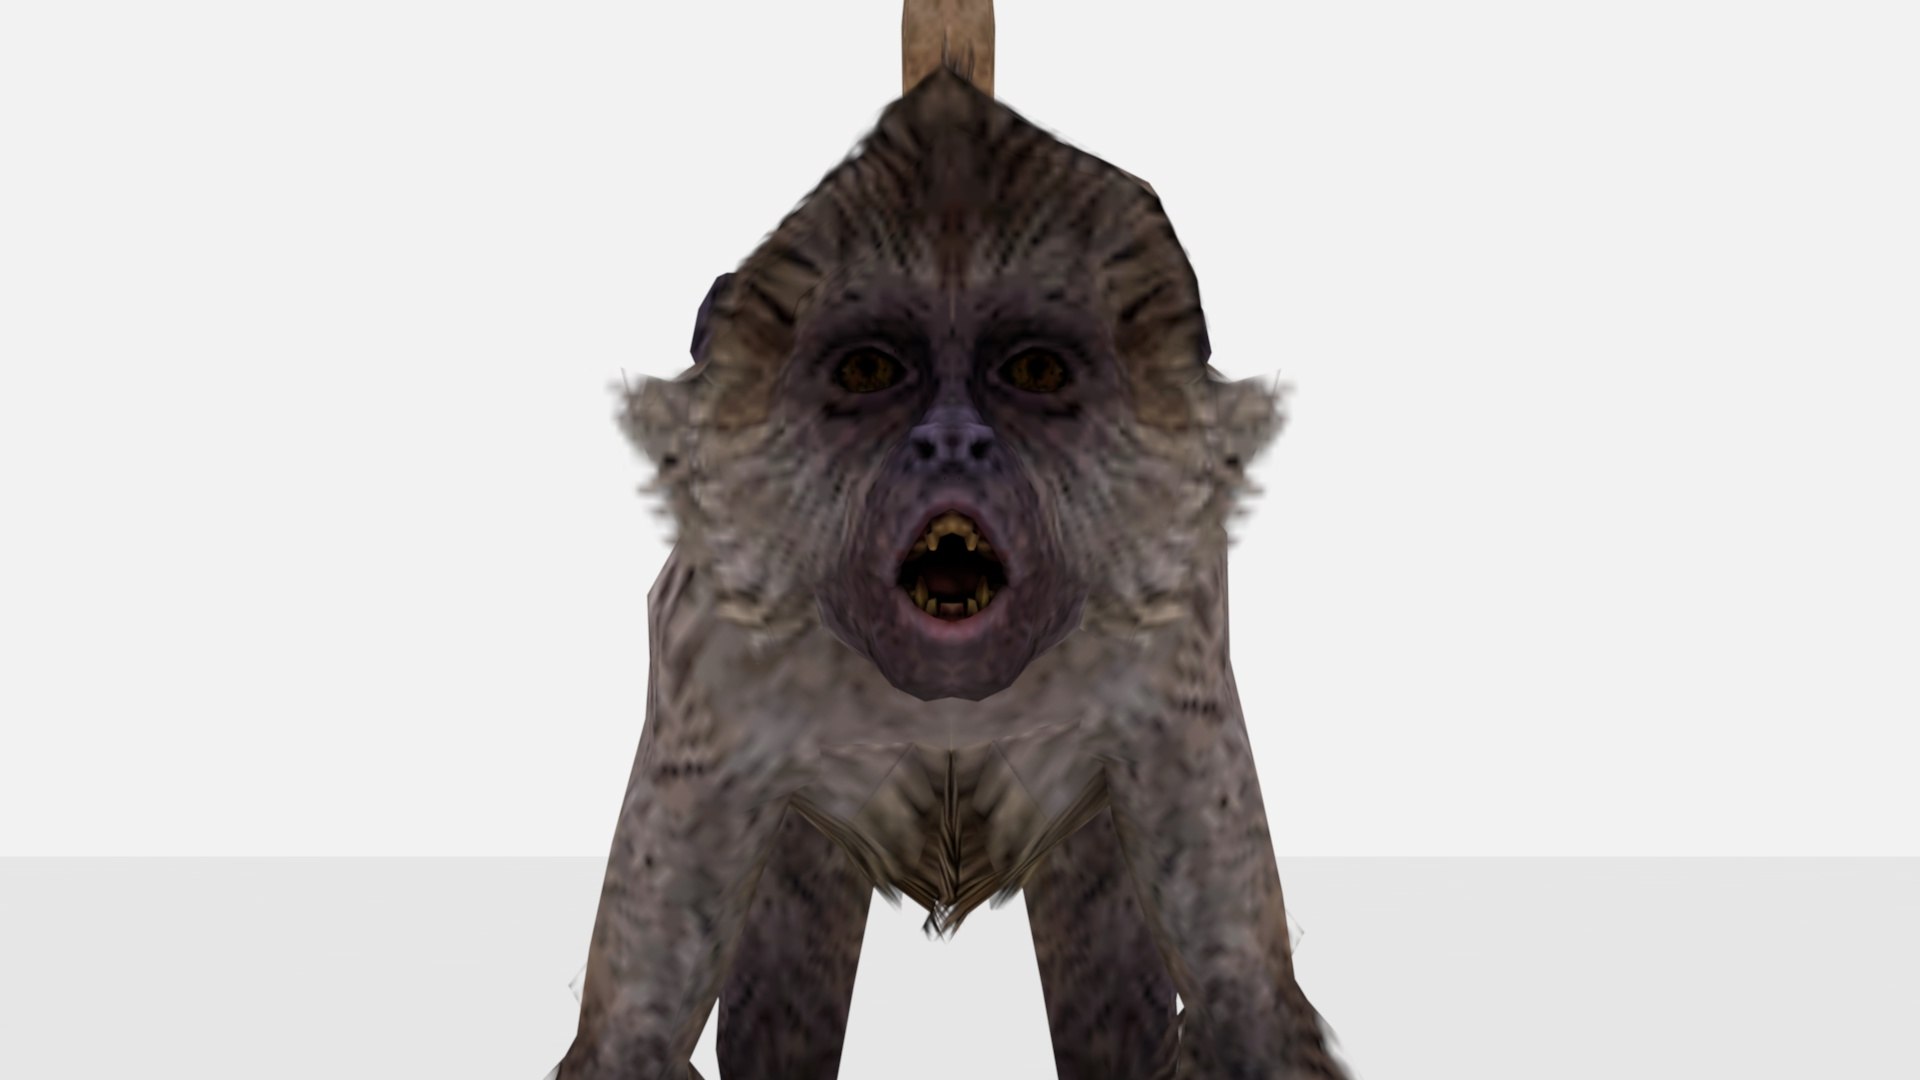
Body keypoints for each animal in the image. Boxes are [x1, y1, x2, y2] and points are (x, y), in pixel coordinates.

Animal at [550, 66, 1350, 1080]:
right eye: (868, 370)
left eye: (1035, 371)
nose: (953, 442)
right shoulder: (721, 651)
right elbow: (646, 1001)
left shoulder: (1170, 636)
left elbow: (1233, 979)